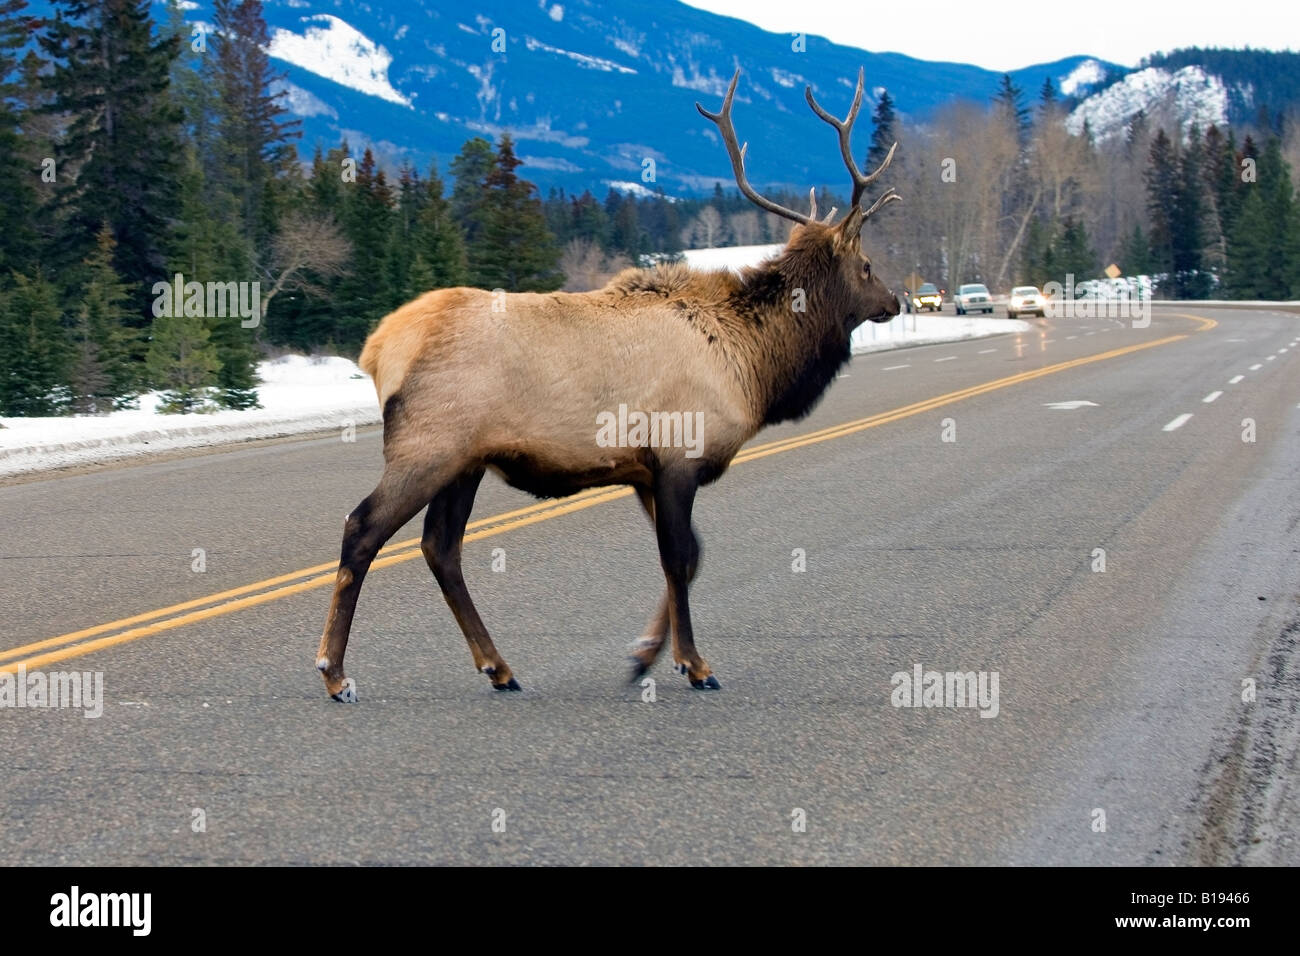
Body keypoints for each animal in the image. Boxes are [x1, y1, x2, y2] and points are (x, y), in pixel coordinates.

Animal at [315, 68, 901, 702]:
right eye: (867, 266)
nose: (896, 301)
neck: (753, 365)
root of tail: (377, 350)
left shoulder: (644, 469)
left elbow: (692, 557)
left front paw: (644, 656)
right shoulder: (678, 457)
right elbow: (678, 559)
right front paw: (694, 664)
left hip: (464, 461)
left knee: (440, 548)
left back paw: (498, 667)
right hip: (427, 447)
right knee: (362, 529)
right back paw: (335, 672)